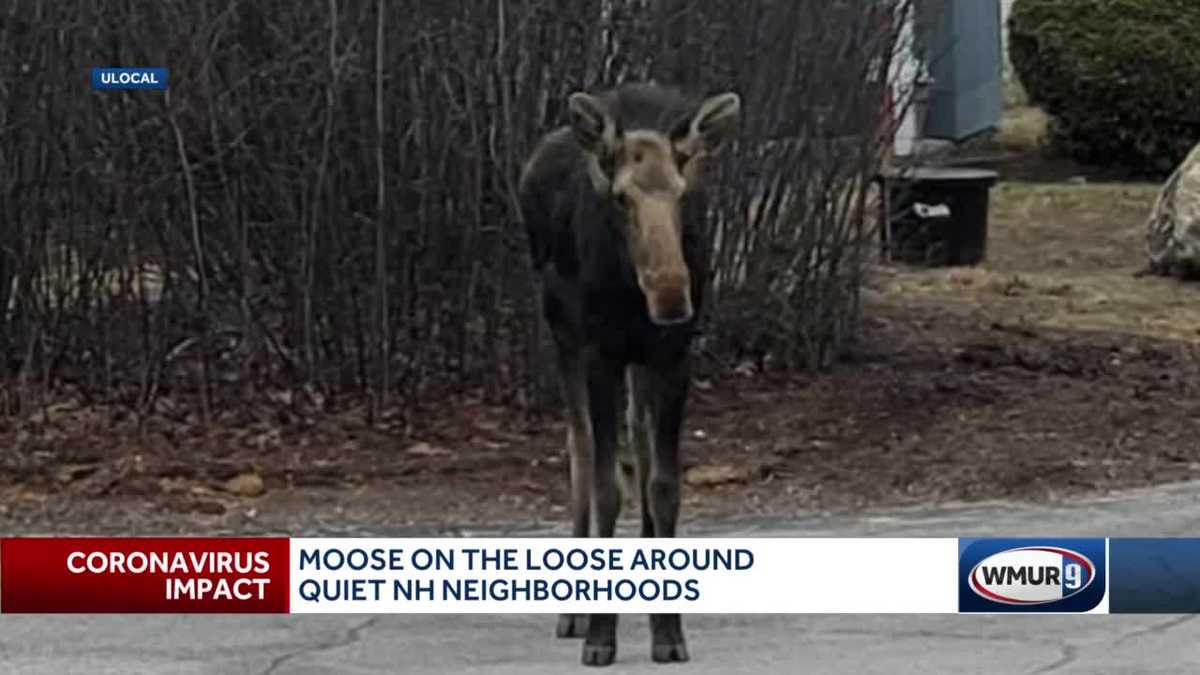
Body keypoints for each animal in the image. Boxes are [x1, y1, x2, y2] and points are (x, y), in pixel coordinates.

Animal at [518, 82, 741, 666]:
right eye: (621, 198)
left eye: (682, 194)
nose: (671, 296)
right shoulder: (601, 353)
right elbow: (605, 486)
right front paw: (601, 634)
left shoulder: (672, 356)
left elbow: (662, 485)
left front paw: (669, 630)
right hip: (562, 336)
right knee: (578, 448)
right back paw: (572, 616)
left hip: (640, 366)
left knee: (637, 449)